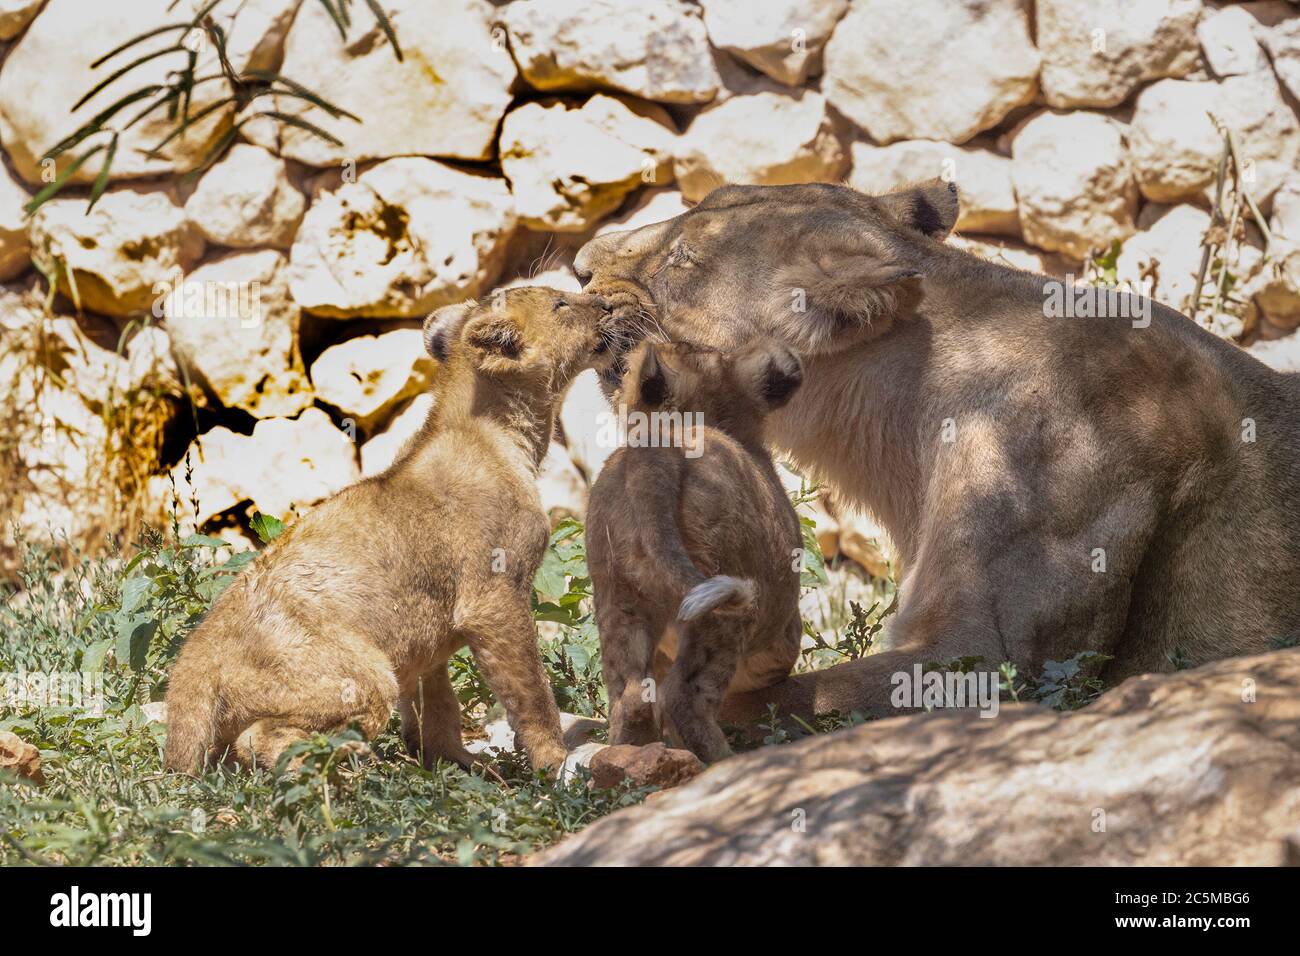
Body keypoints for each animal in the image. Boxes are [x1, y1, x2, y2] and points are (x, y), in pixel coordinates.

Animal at [164, 288, 623, 775]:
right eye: (561, 305)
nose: (607, 306)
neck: (503, 432)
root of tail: (194, 667)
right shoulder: (492, 599)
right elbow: (532, 693)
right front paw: (555, 764)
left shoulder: (428, 643)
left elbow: (437, 710)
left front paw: (460, 766)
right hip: (363, 673)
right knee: (258, 740)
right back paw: (346, 760)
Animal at [587, 338, 805, 762]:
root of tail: (655, 452)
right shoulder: (784, 632)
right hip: (722, 600)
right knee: (684, 697)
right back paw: (723, 761)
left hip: (616, 593)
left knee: (632, 699)